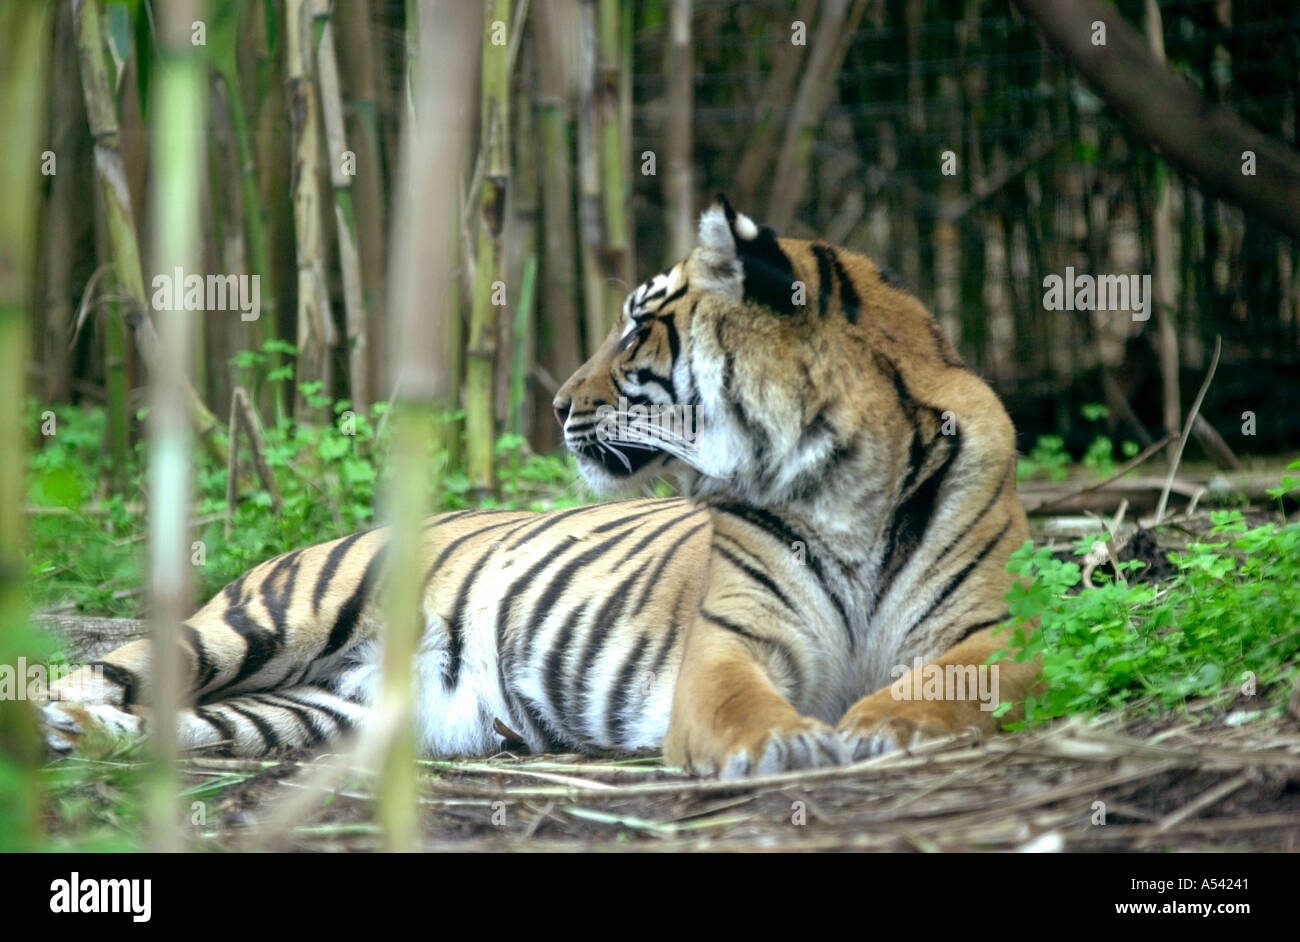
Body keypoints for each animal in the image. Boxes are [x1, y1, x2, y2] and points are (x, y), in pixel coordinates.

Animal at [40, 197, 1040, 778]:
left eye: (636, 328)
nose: (558, 401)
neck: (840, 479)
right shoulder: (730, 642)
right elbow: (741, 703)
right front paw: (783, 743)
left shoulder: (995, 632)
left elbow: (948, 686)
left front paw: (882, 727)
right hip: (262, 625)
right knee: (97, 673)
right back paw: (54, 724)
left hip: (320, 712)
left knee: (188, 724)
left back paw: (83, 740)